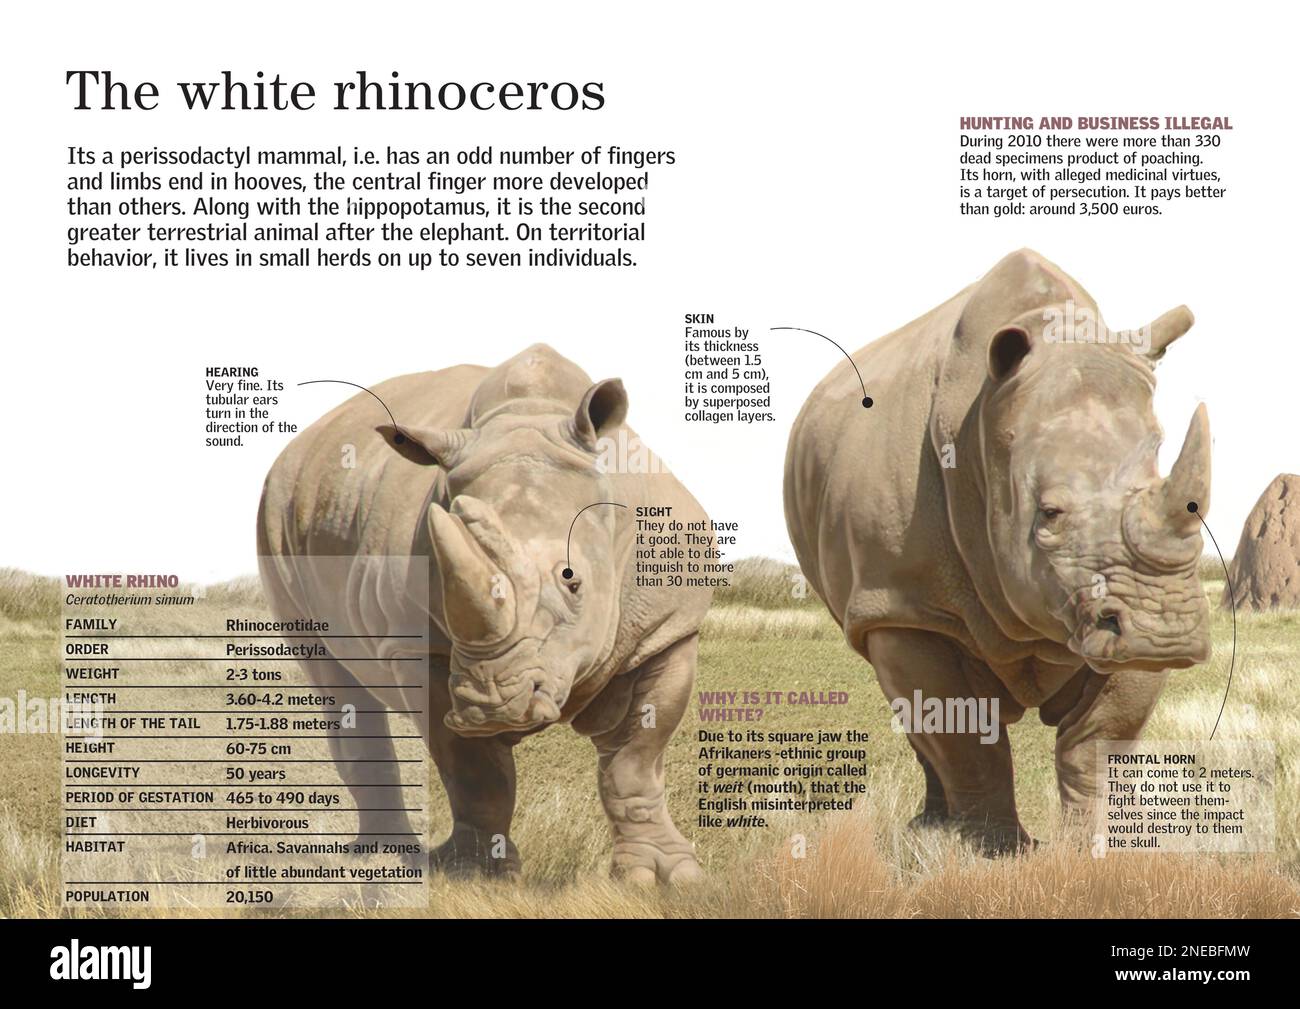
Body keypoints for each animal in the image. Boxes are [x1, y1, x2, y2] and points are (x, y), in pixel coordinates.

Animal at [257, 345, 711, 883]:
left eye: (572, 580)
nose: (490, 704)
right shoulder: (420, 649)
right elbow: (475, 771)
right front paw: (477, 876)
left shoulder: (665, 629)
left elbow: (636, 758)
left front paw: (664, 879)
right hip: (276, 512)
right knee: (332, 675)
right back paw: (383, 862)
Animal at [783, 249, 1212, 853]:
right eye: (1049, 514)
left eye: (1193, 506)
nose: (1166, 632)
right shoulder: (902, 604)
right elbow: (963, 738)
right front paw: (997, 855)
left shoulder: (1130, 626)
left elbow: (1099, 739)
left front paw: (1093, 854)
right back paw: (930, 830)